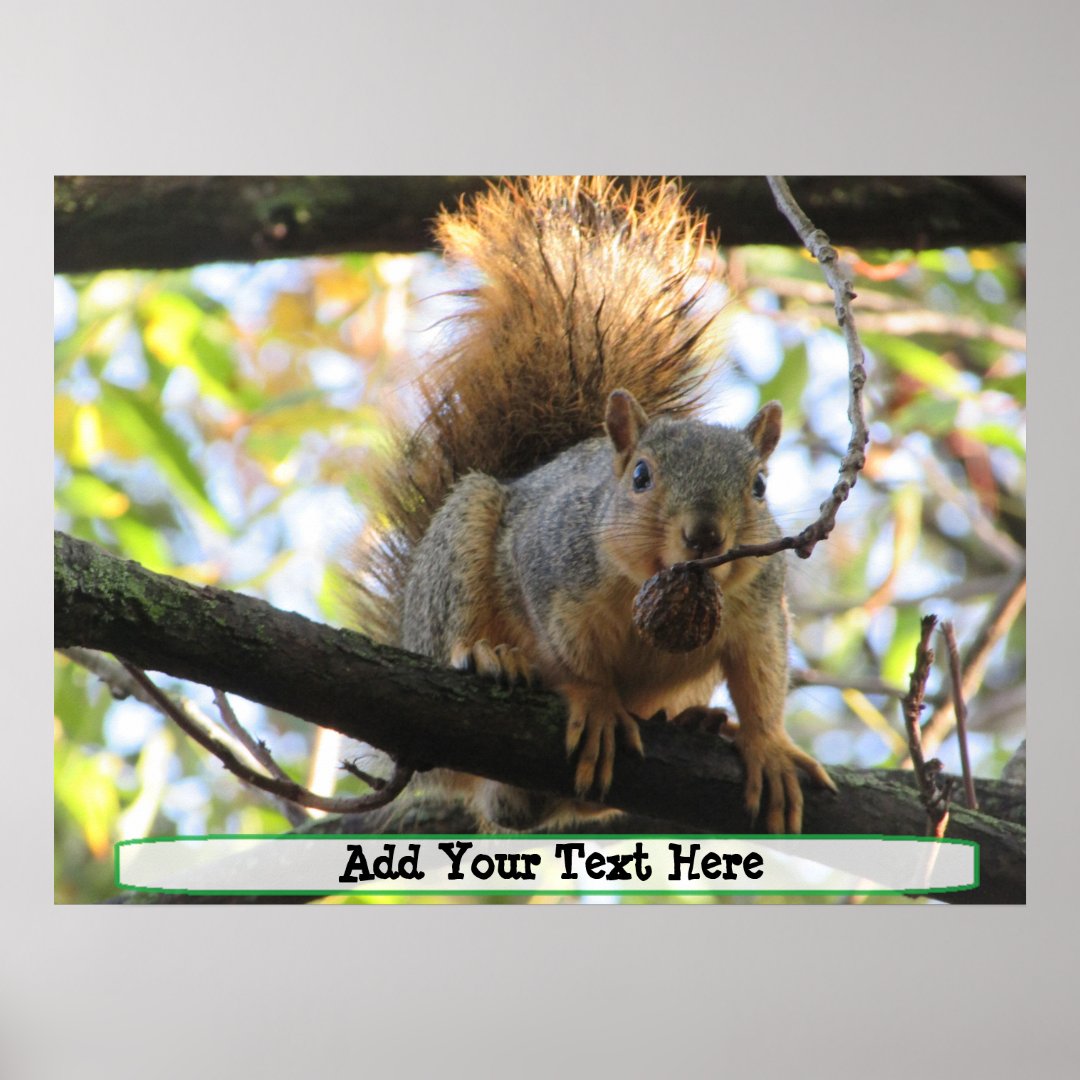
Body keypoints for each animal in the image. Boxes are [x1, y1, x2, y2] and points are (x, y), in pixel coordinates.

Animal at [353, 176, 835, 833]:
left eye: (759, 486)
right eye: (641, 476)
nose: (706, 536)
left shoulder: (758, 609)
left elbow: (761, 676)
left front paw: (768, 745)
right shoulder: (550, 567)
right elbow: (572, 658)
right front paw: (598, 702)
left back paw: (696, 721)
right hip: (460, 547)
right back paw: (487, 658)